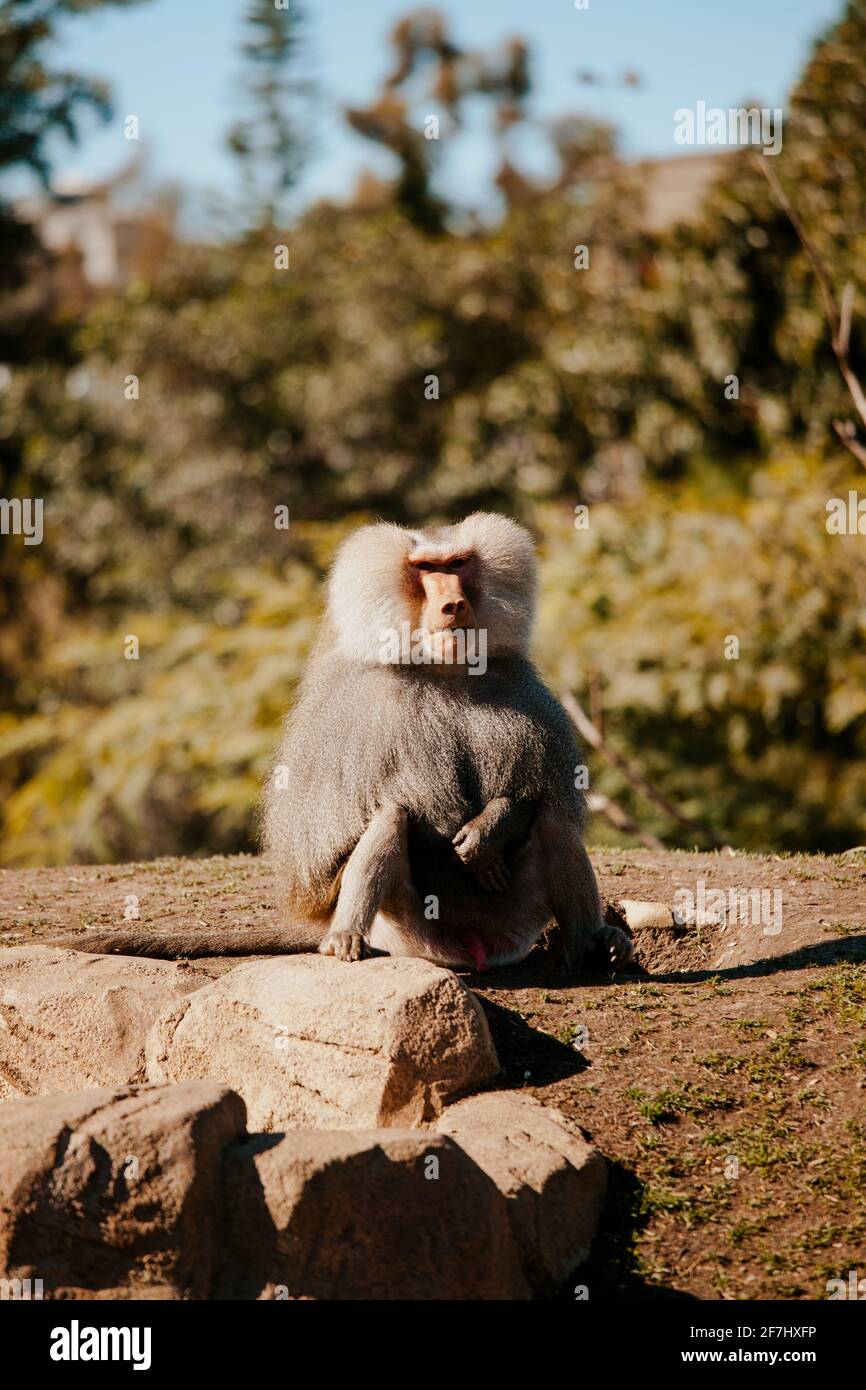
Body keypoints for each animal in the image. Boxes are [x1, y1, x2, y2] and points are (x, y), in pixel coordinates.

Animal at [48, 513, 633, 974]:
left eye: (459, 564)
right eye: (425, 570)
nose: (455, 606)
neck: (444, 672)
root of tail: (473, 951)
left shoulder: (523, 692)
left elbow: (536, 796)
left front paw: (490, 829)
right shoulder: (361, 710)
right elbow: (371, 826)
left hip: (517, 923)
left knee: (552, 823)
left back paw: (593, 944)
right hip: (410, 934)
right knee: (391, 817)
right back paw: (345, 937)